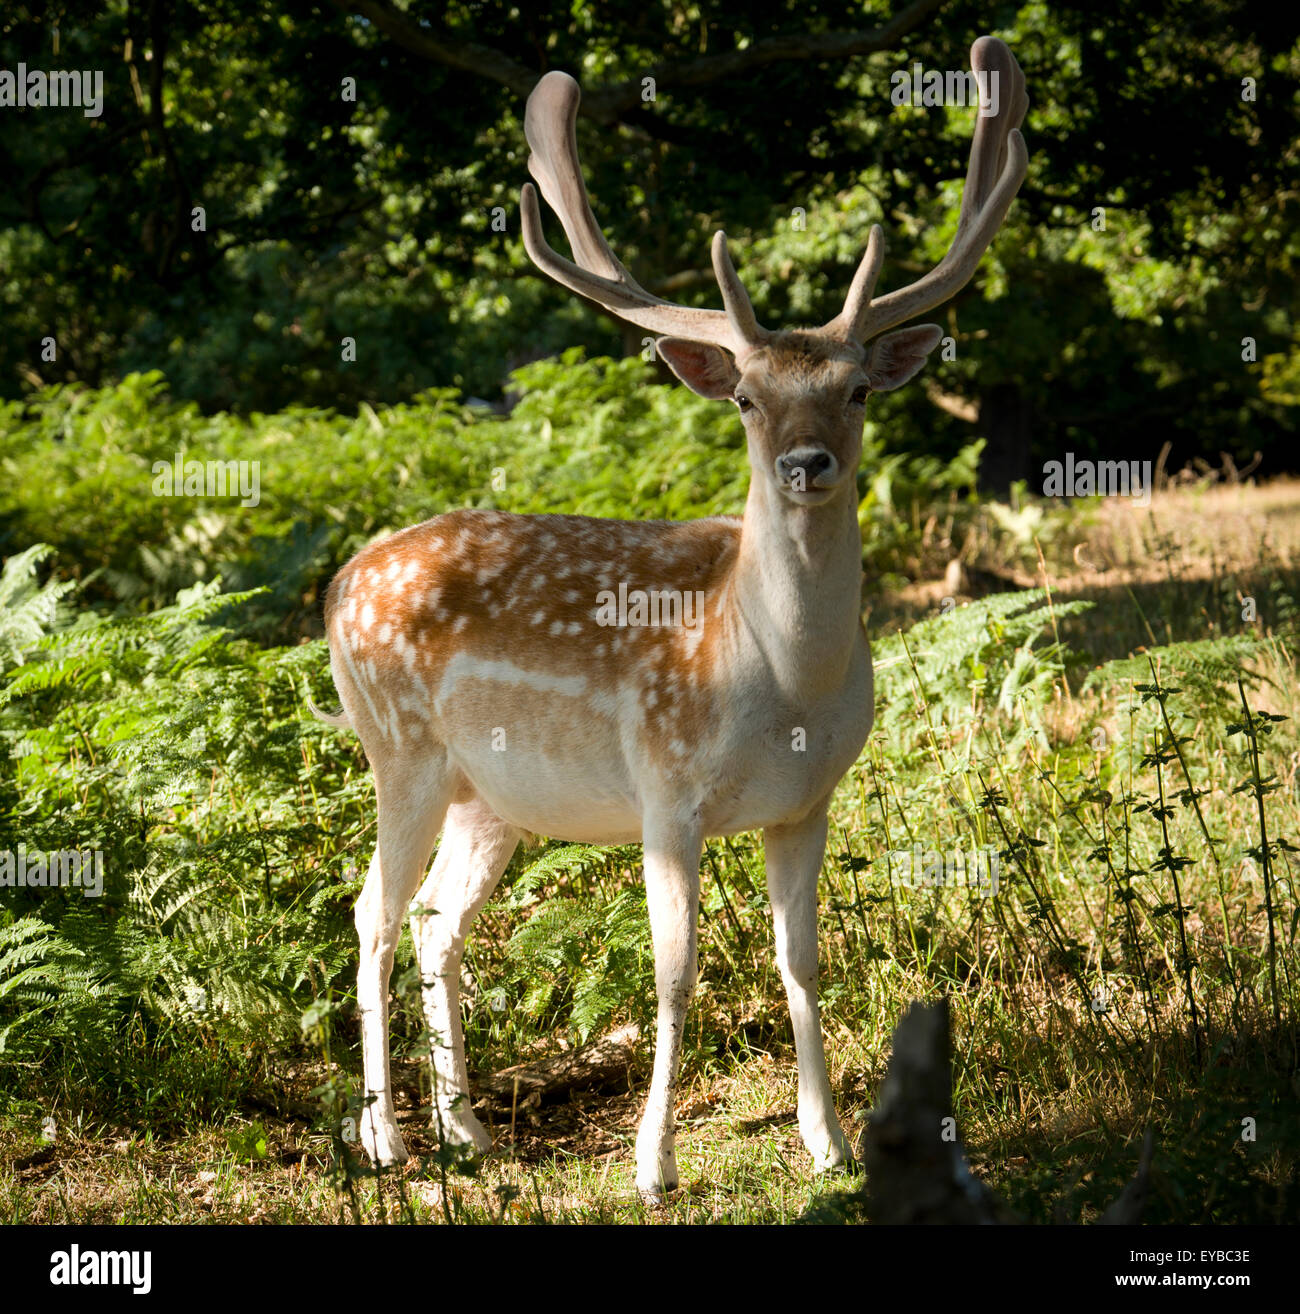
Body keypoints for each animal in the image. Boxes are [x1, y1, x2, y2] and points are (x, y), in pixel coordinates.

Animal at [316, 35, 1027, 1198]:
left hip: (488, 796)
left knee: (432, 922)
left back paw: (467, 1127)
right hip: (398, 748)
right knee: (372, 910)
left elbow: (800, 964)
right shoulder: (666, 792)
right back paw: (387, 1139)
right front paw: (654, 1165)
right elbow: (675, 974)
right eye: (744, 395)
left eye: (856, 391)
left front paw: (829, 1143)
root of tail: (339, 586)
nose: (806, 462)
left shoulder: (808, 802)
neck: (779, 683)